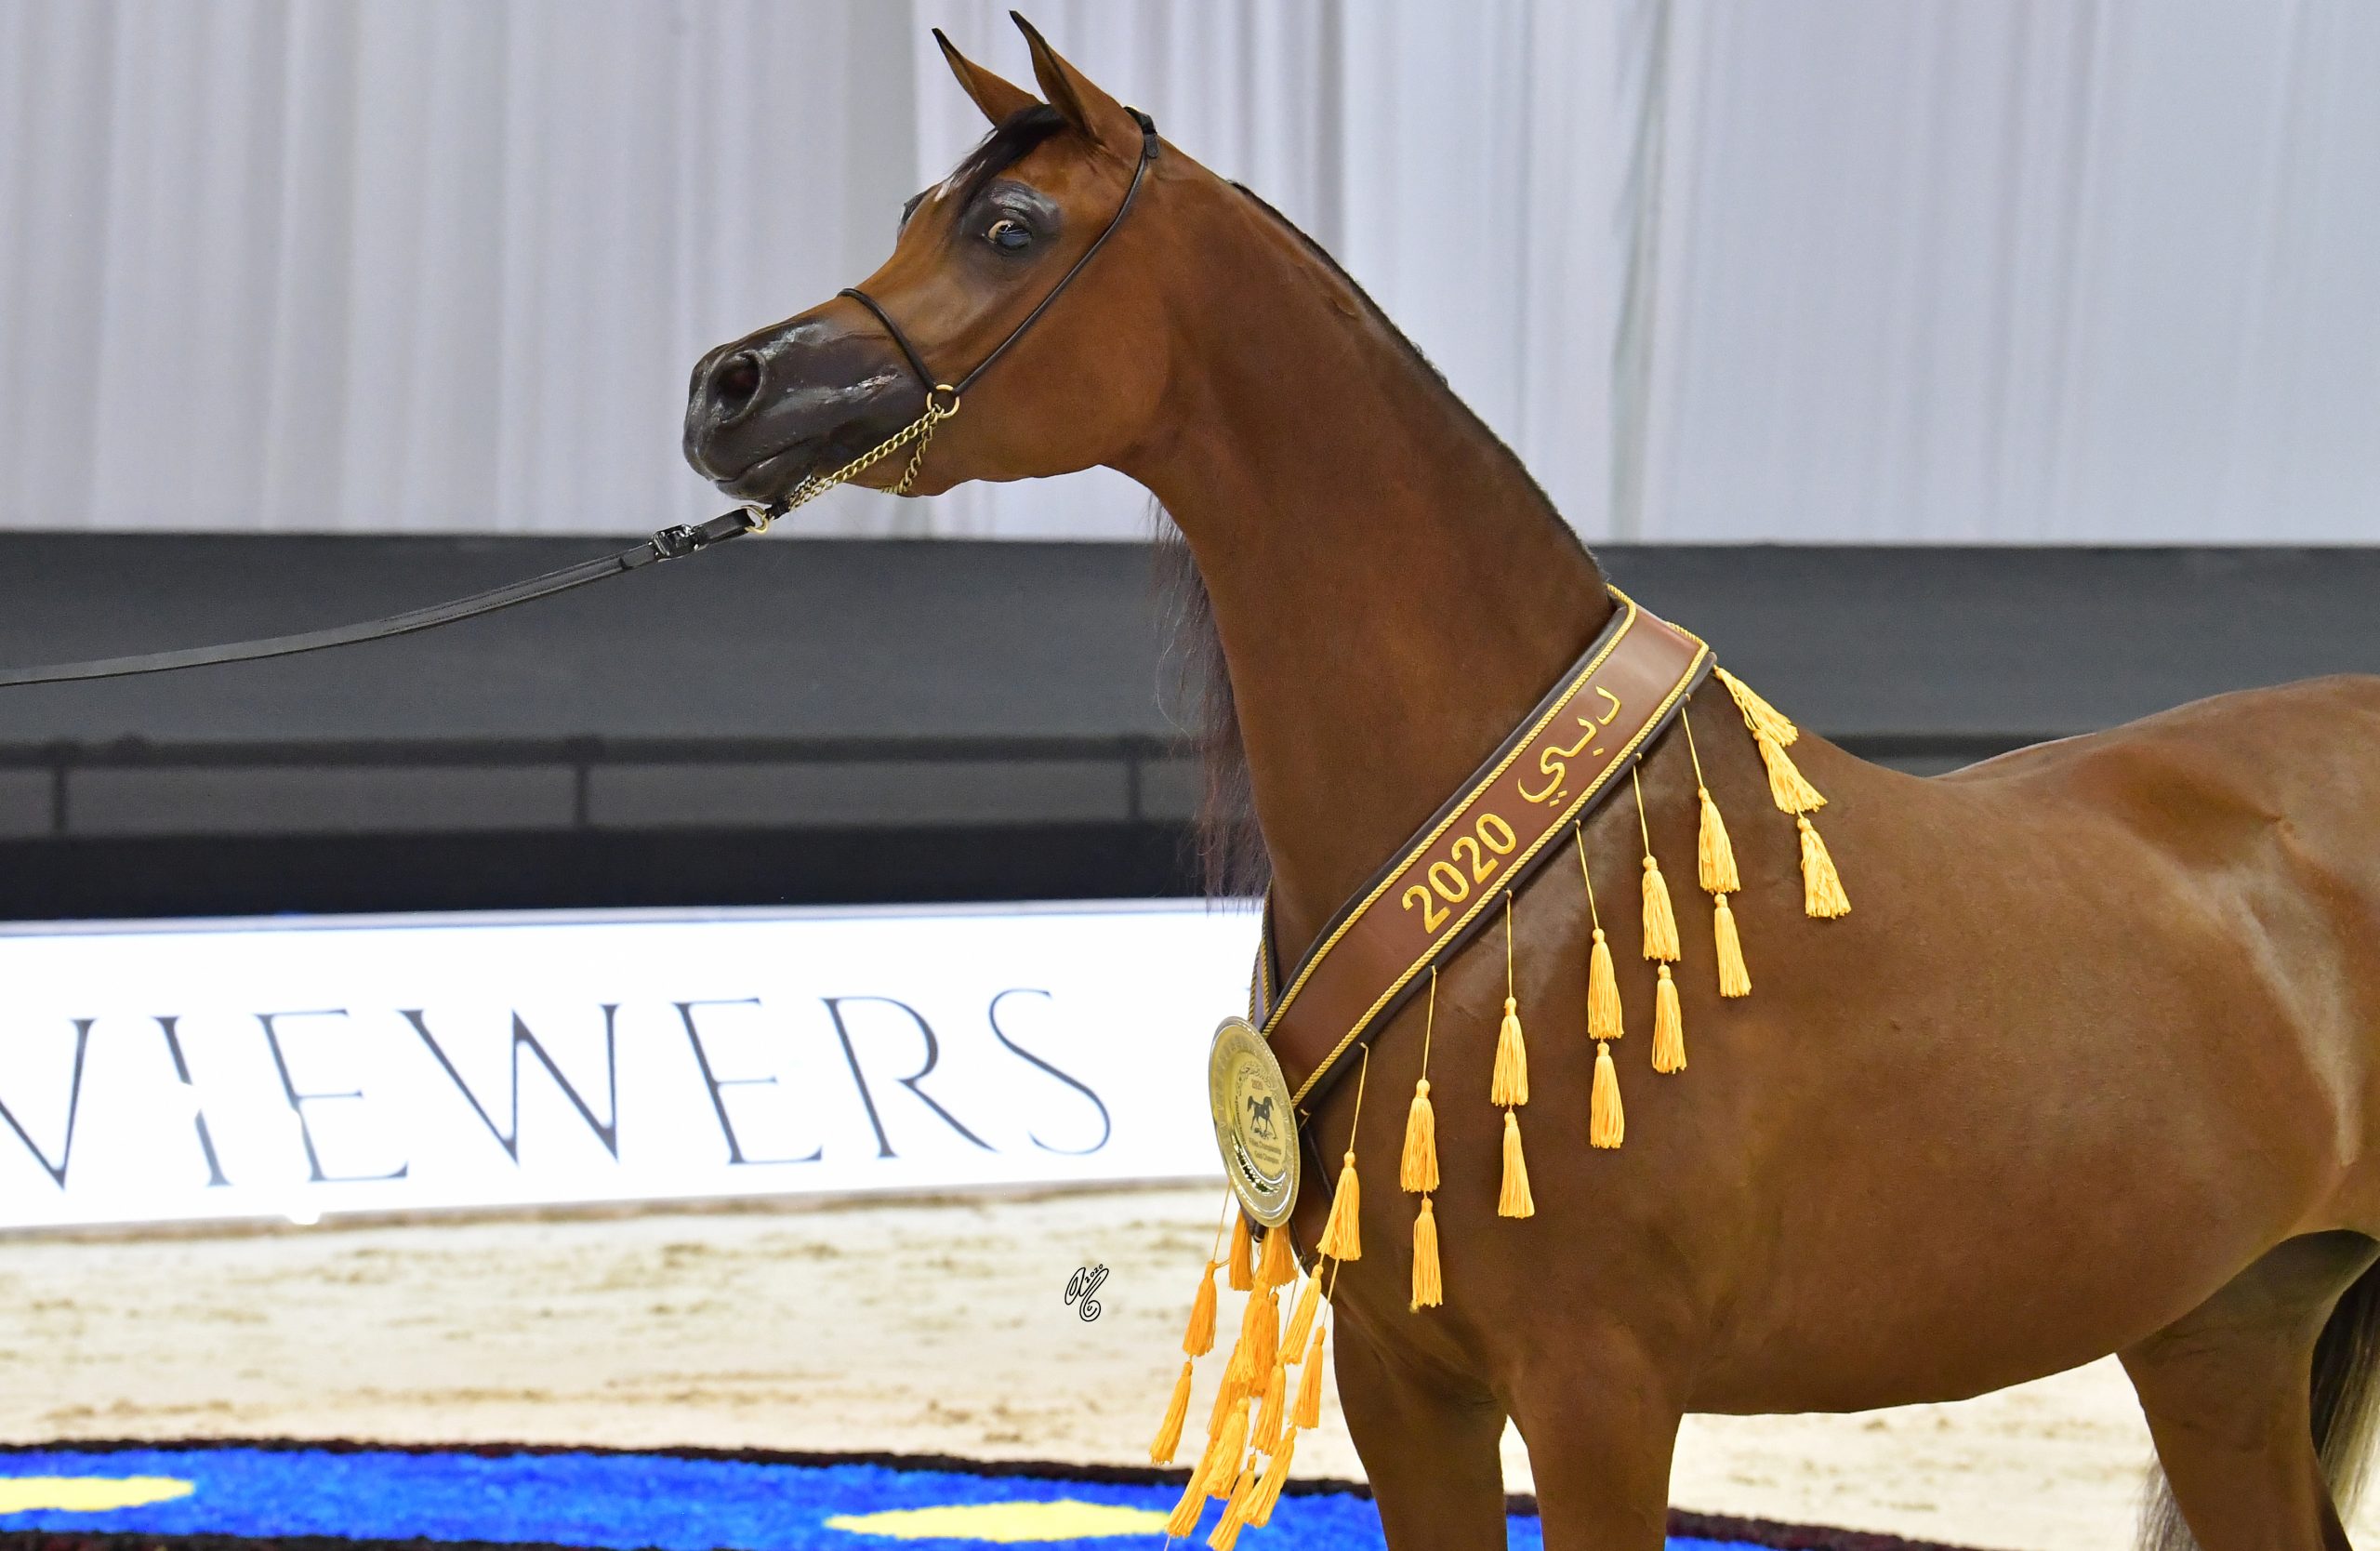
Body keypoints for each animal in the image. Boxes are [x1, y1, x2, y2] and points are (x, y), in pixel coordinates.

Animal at [682, 19, 2380, 1550]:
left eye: (1011, 227)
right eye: (919, 212)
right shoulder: (1408, 1385)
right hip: (2219, 1335)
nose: (726, 385)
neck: (1539, 892)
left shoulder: (1600, 1392)